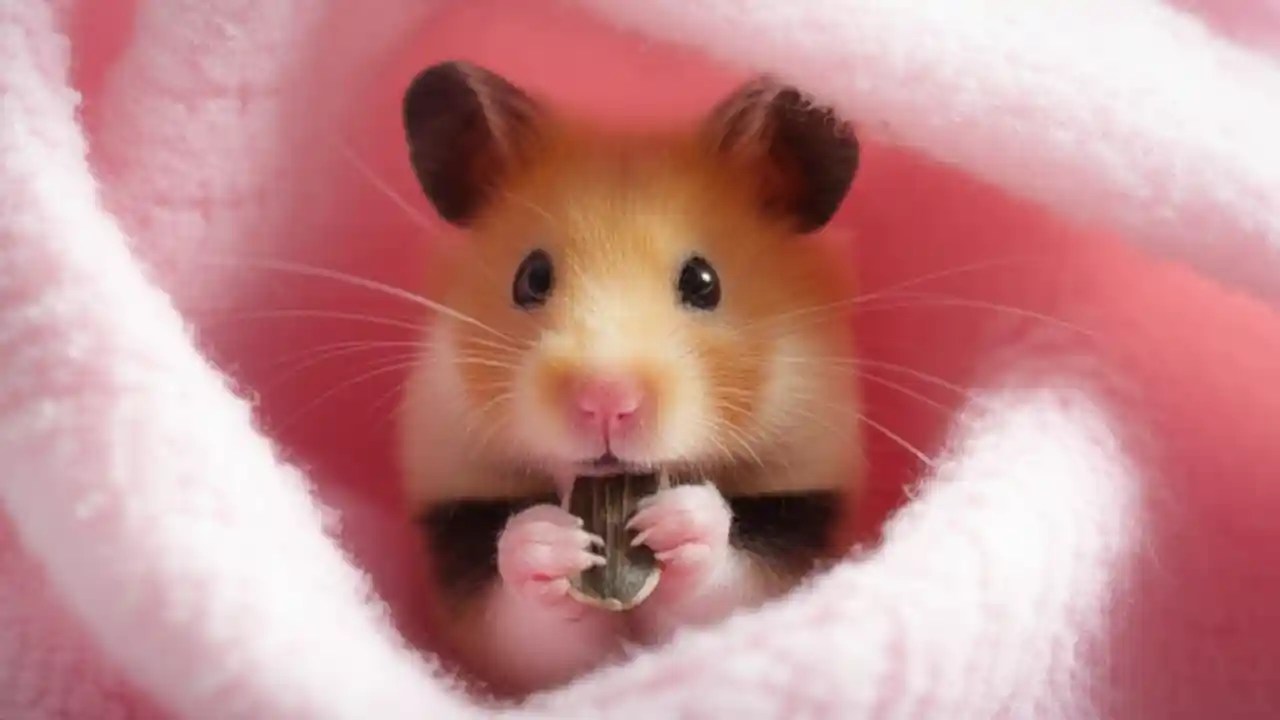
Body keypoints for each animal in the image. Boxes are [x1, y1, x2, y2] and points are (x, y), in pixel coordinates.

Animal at [395, 61, 864, 694]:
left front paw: (674, 522)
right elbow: (527, 627)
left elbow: (730, 583)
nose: (606, 400)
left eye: (703, 282)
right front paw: (552, 541)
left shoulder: (795, 531)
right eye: (531, 278)